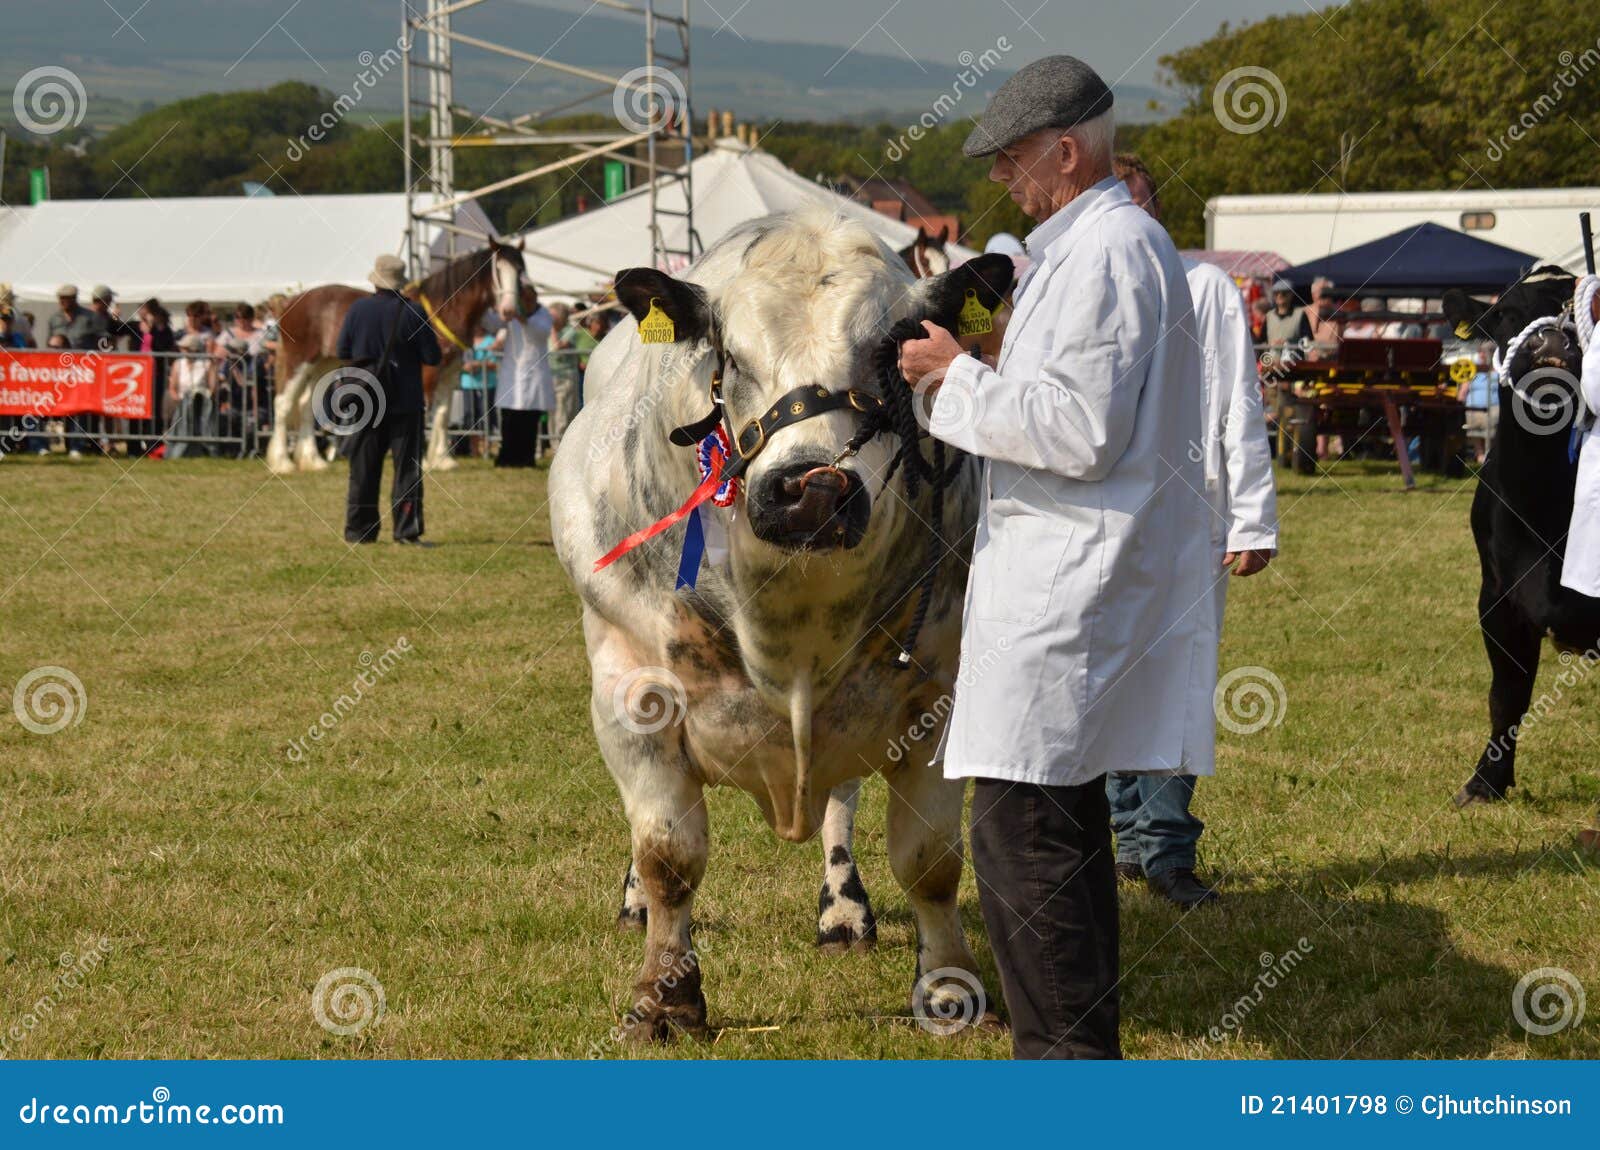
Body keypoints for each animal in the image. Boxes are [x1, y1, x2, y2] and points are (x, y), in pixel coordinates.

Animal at [549, 207, 1013, 1040]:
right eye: (729, 355)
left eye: (894, 350)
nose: (812, 489)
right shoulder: (630, 685)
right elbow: (668, 852)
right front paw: (664, 997)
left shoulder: (935, 693)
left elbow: (929, 859)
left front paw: (948, 988)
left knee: (839, 803)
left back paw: (843, 911)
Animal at [1441, 266, 1600, 810]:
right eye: (1504, 313)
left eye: (1571, 303)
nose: (1549, 338)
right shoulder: (1496, 597)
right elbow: (1507, 693)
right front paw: (1484, 782)